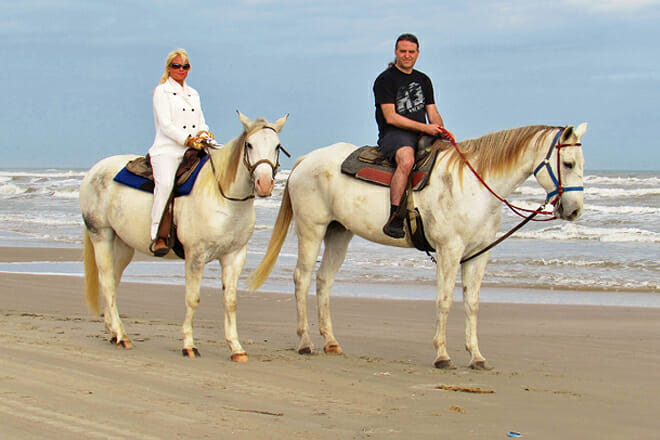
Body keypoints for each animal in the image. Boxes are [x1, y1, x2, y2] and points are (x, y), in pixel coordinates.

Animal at [80, 111, 288, 362]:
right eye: (249, 144)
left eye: (277, 146)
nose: (264, 184)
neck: (223, 197)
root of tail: (94, 171)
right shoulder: (196, 255)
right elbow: (193, 298)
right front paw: (189, 345)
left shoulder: (234, 256)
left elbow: (230, 302)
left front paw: (236, 348)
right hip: (101, 236)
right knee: (108, 282)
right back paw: (122, 336)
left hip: (122, 245)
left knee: (112, 281)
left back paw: (113, 332)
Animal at [249, 123, 586, 369]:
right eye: (568, 163)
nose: (574, 210)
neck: (475, 186)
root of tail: (307, 160)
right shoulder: (449, 251)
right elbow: (444, 301)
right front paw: (442, 356)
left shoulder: (478, 256)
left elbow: (473, 304)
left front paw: (477, 357)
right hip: (312, 230)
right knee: (302, 278)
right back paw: (305, 343)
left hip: (339, 232)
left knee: (324, 281)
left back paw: (331, 342)